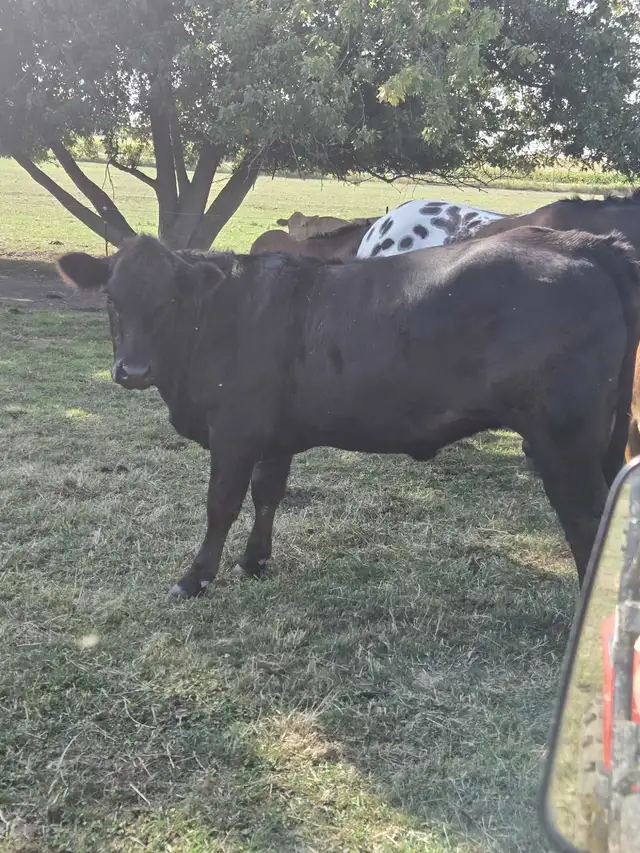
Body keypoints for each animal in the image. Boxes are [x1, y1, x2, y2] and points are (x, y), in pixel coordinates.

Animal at [57, 227, 640, 596]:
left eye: (171, 302)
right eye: (112, 298)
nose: (132, 370)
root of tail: (582, 244)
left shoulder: (235, 429)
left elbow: (220, 503)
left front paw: (195, 578)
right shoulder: (275, 435)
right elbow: (267, 495)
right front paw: (254, 562)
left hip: (564, 439)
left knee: (587, 518)